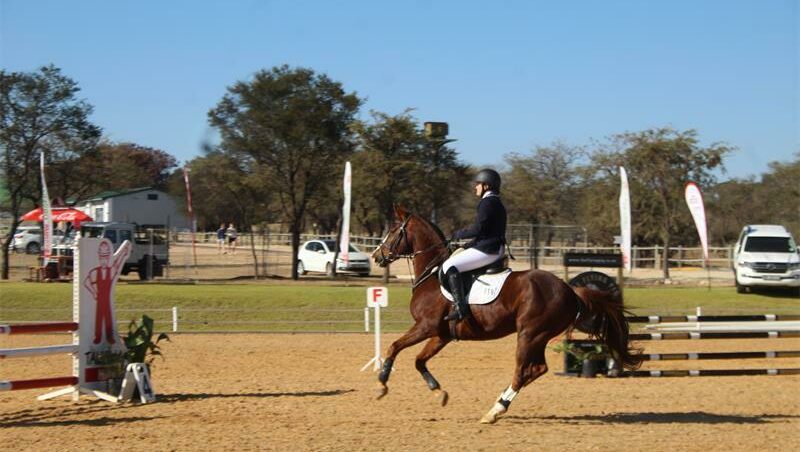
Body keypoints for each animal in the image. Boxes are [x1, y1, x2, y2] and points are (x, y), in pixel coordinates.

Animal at [371, 205, 641, 424]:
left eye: (393, 230)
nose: (376, 256)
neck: (432, 273)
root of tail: (569, 289)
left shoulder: (425, 326)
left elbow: (394, 347)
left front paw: (381, 384)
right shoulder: (440, 334)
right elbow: (419, 360)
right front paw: (439, 392)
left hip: (529, 334)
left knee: (523, 371)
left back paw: (494, 411)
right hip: (537, 336)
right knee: (538, 369)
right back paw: (499, 404)